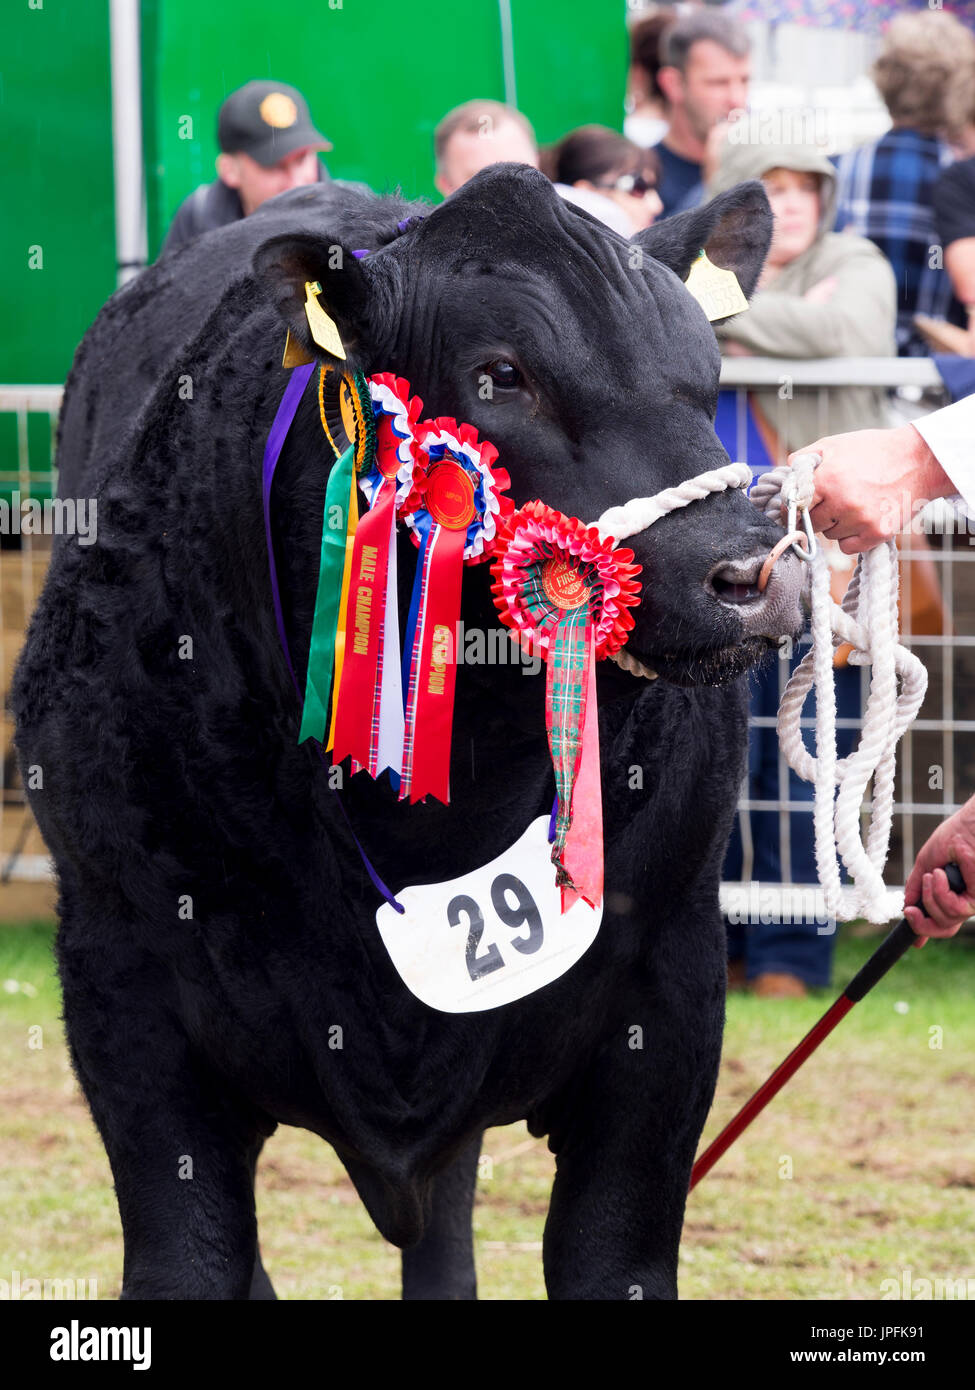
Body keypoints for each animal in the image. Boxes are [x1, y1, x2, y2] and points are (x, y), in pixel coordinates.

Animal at [14, 165, 803, 1300]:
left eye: (706, 367)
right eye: (501, 374)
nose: (751, 572)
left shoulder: (671, 981)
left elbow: (610, 1254)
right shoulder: (123, 982)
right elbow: (193, 1256)